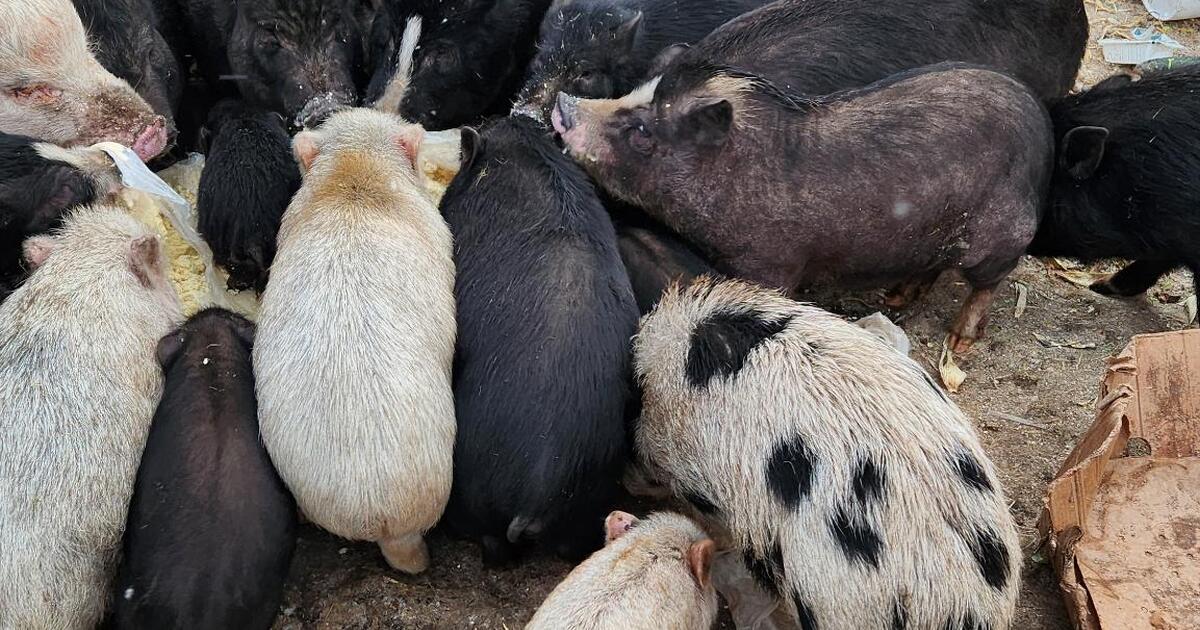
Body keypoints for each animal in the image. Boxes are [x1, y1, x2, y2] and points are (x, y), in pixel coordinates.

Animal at [554, 63, 1053, 351]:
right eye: (629, 94)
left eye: (642, 132)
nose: (562, 102)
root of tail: (1041, 133)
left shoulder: (772, 262)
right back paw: (896, 298)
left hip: (999, 235)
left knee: (987, 280)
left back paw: (959, 340)